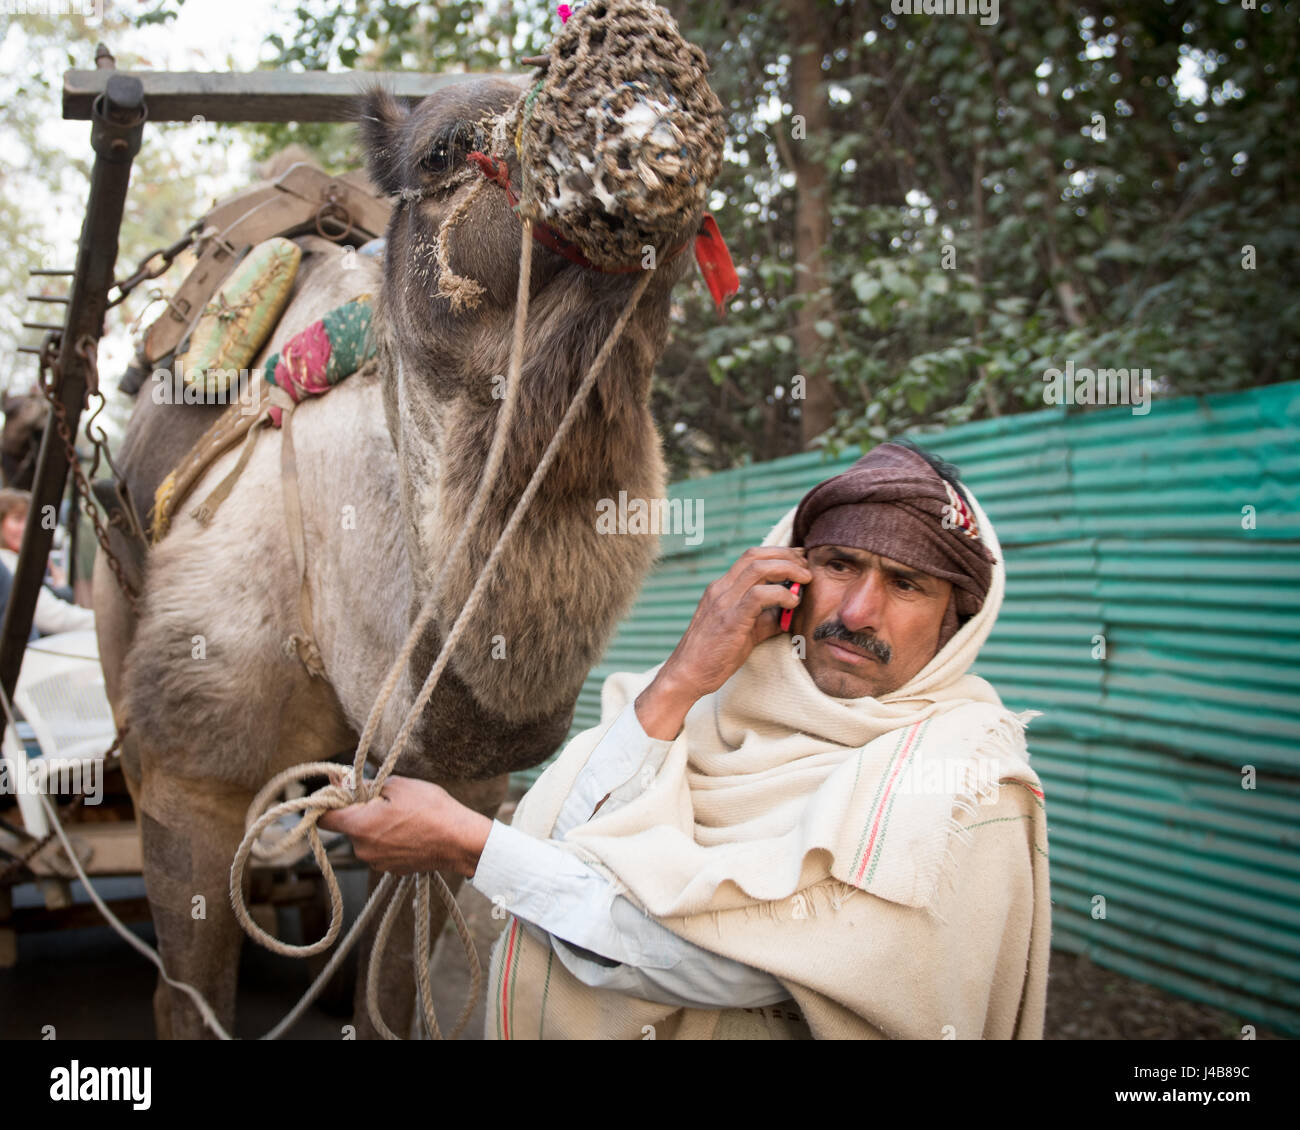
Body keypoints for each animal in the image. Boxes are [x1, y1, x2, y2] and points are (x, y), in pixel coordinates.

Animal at [93, 73, 711, 1039]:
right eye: (440, 151)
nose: (641, 115)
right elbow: (190, 997)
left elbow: (391, 988)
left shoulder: (452, 787)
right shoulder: (190, 775)